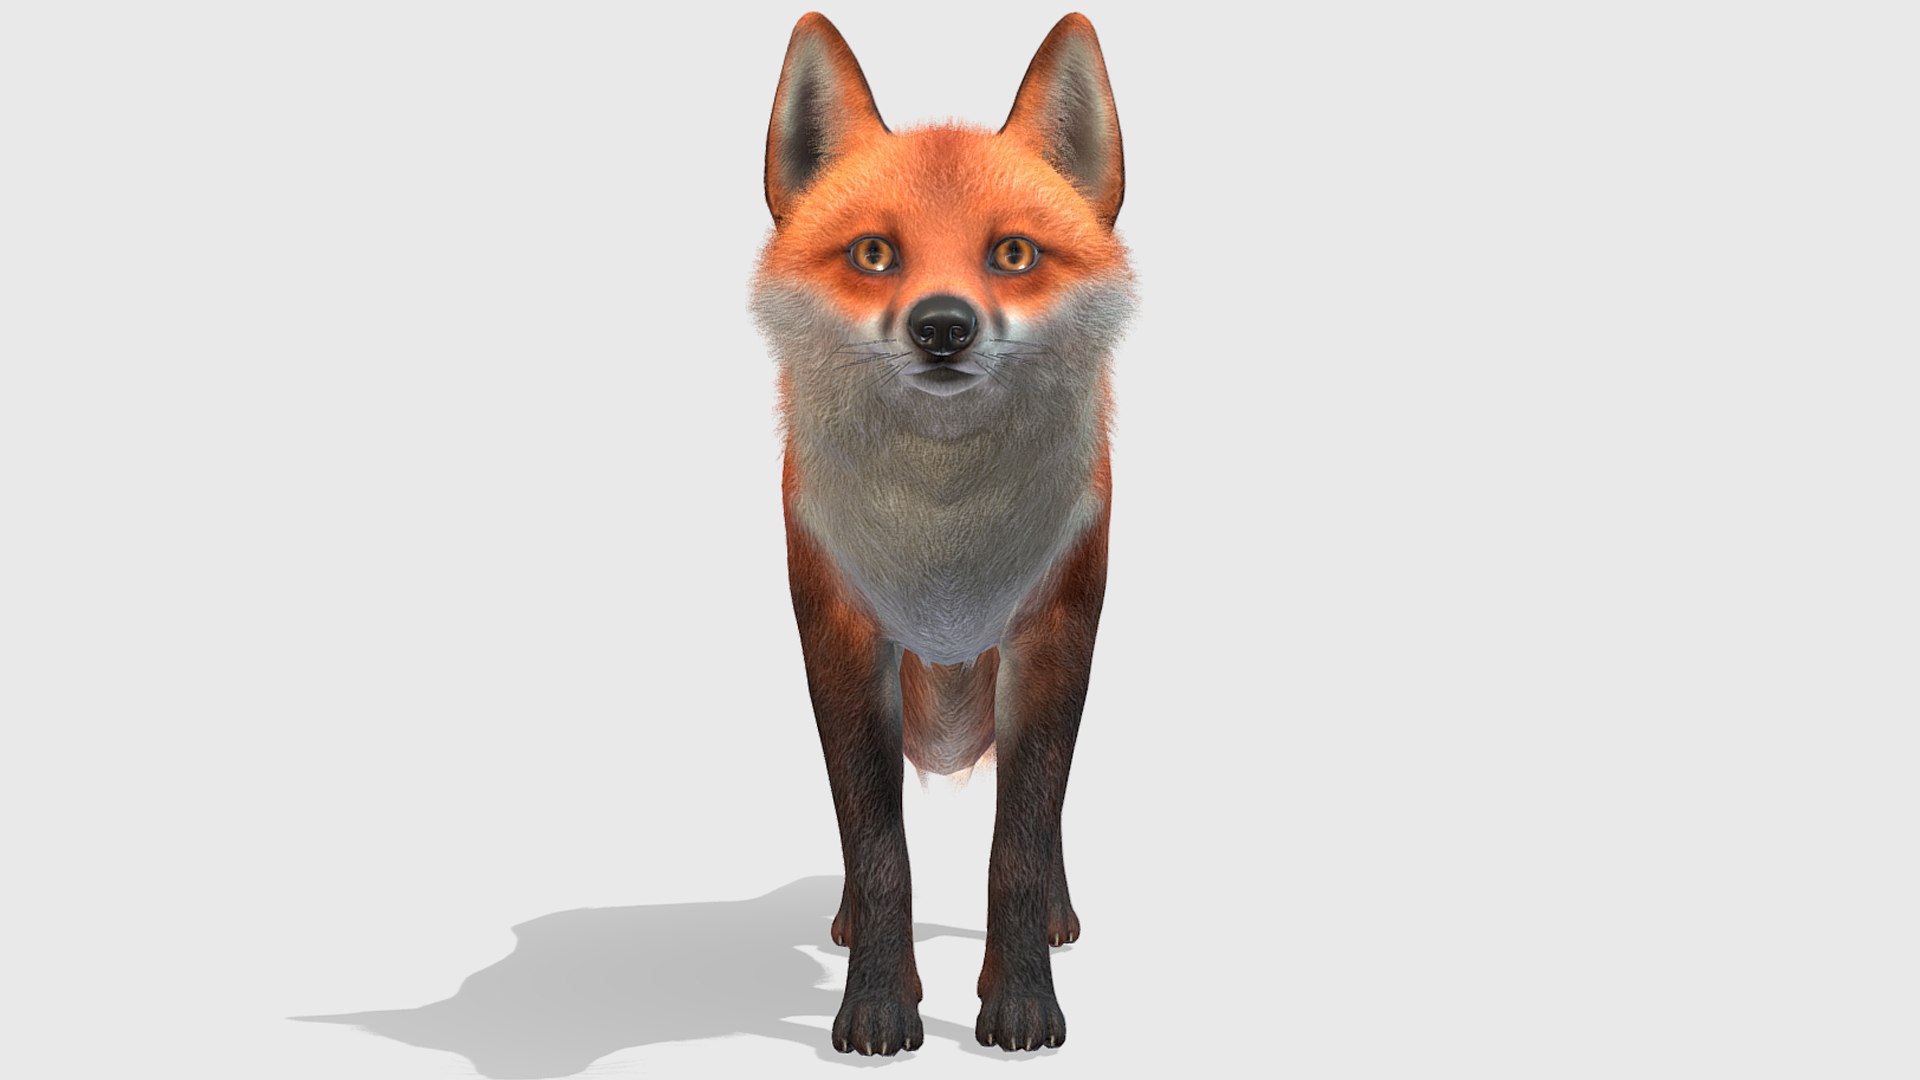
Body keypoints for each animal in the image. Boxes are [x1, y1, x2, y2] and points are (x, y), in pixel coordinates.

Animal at [749, 12, 1135, 1056]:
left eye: (1013, 255)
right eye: (876, 254)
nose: (944, 328)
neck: (944, 542)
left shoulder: (1053, 634)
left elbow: (1019, 845)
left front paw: (1022, 1002)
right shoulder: (842, 639)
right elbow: (879, 849)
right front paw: (879, 1004)